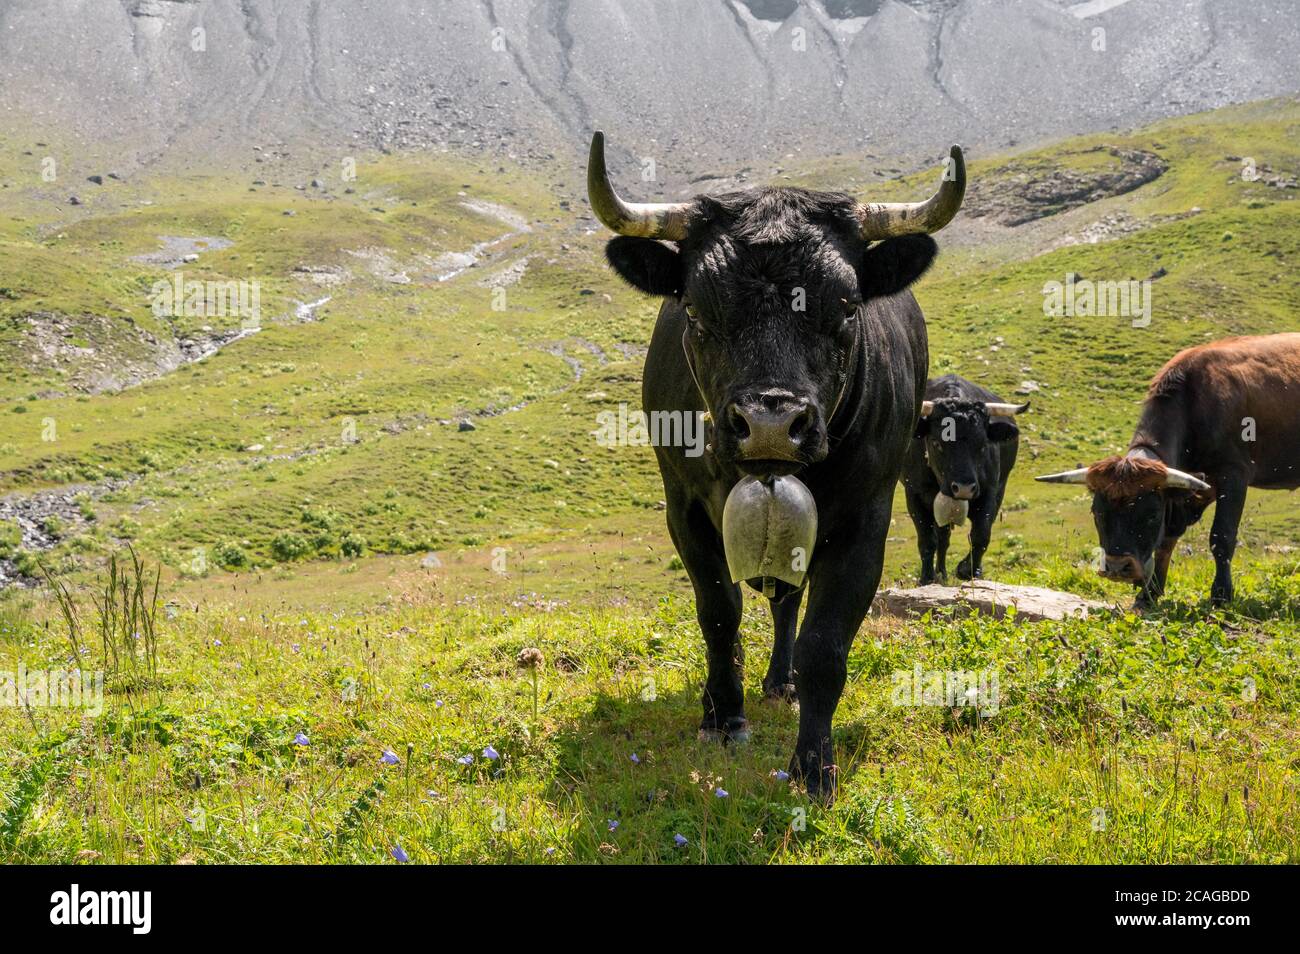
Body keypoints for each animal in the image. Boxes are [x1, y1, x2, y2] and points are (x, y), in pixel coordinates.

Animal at [587, 131, 966, 799]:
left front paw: (814, 768)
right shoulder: (683, 506)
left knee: (790, 603)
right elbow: (718, 613)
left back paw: (782, 682)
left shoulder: (864, 519)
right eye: (695, 310)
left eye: (846, 306)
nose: (770, 422)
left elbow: (825, 643)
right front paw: (723, 718)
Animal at [901, 375, 1028, 584]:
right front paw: (926, 578)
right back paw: (940, 573)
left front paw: (970, 570)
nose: (963, 488)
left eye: (983, 443)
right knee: (942, 538)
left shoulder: (989, 492)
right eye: (936, 443)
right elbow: (927, 540)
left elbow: (981, 535)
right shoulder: (914, 495)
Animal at [1037, 333, 1300, 607]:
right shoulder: (1187, 491)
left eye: (1151, 514)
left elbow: (1222, 536)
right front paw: (1149, 593)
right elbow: (1165, 541)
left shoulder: (1234, 475)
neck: (1193, 400)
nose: (1118, 567)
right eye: (1097, 512)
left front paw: (1221, 595)